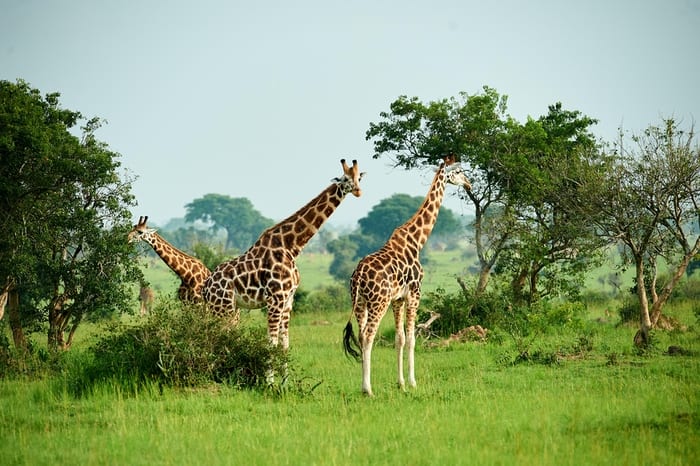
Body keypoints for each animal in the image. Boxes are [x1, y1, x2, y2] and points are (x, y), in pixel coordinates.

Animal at [203, 159, 363, 345]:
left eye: (359, 178)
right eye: (345, 179)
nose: (358, 191)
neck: (291, 246)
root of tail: (206, 287)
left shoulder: (288, 300)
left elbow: (284, 341)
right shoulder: (276, 298)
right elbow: (272, 342)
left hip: (229, 307)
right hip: (223, 306)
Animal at [343, 156, 471, 396]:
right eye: (459, 172)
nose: (469, 184)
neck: (417, 240)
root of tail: (358, 277)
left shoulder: (398, 299)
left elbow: (399, 338)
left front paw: (400, 383)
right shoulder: (414, 294)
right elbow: (411, 339)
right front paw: (412, 382)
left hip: (360, 302)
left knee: (361, 335)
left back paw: (363, 386)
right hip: (378, 302)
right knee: (368, 336)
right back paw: (368, 389)